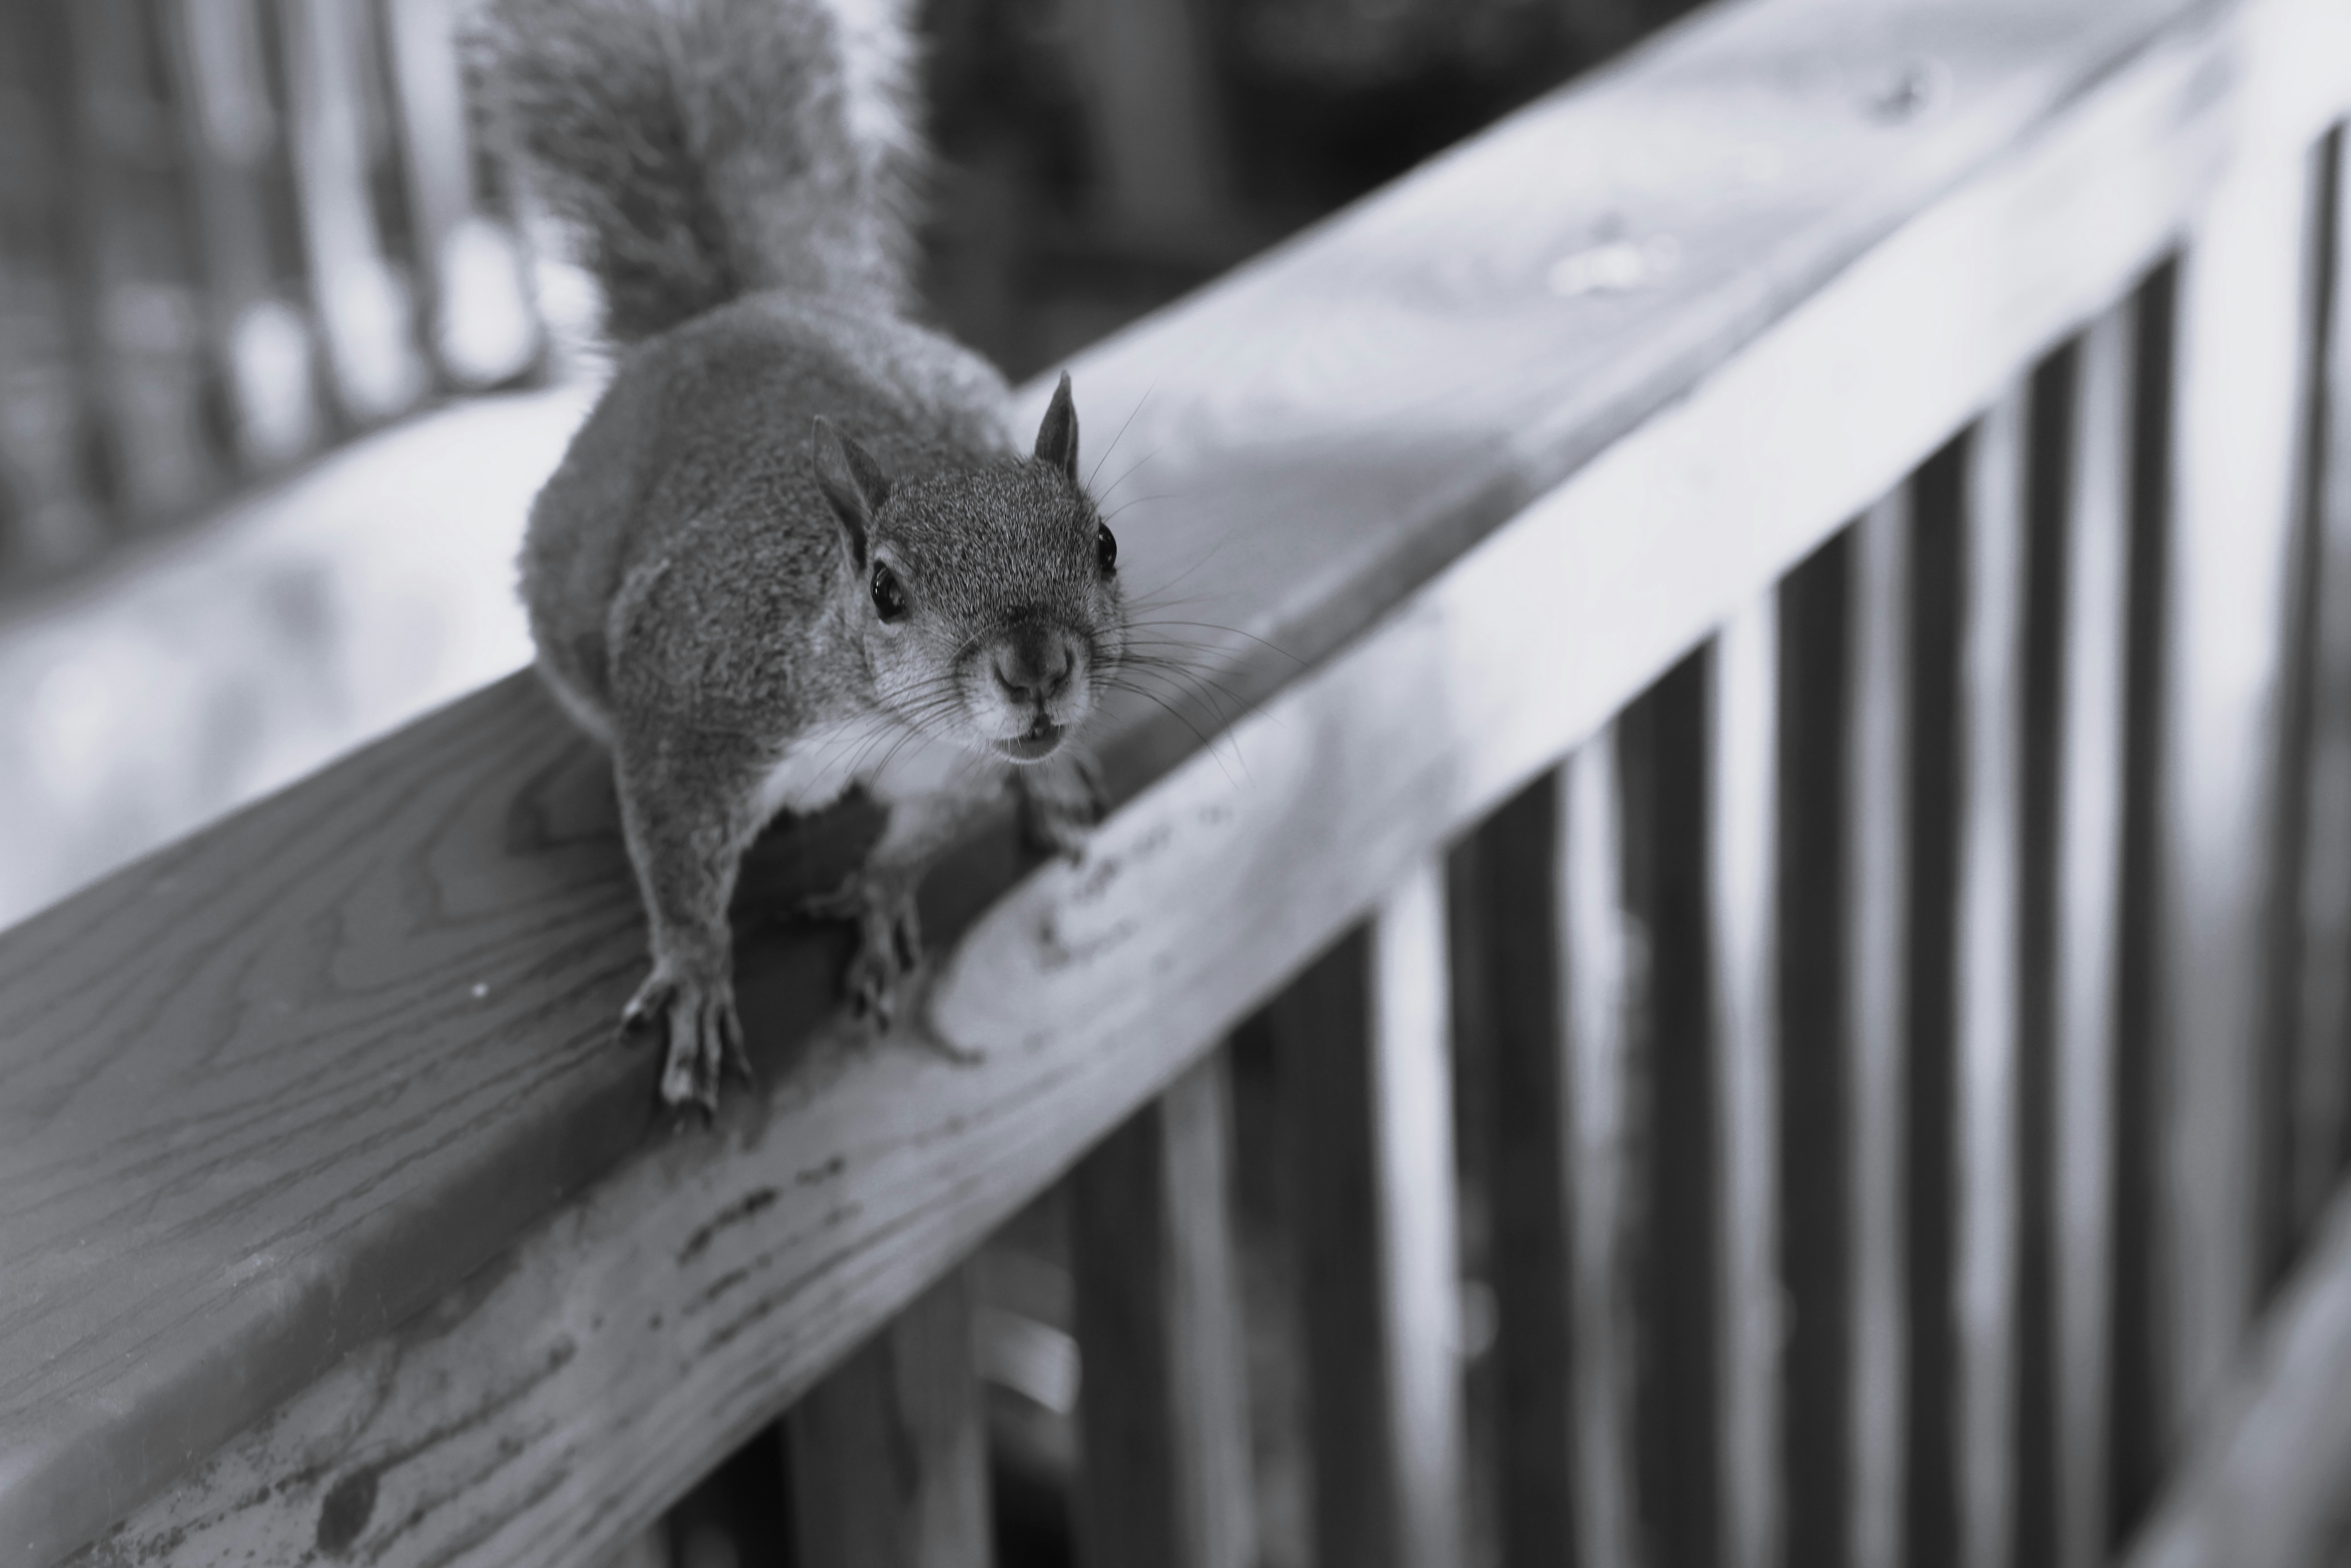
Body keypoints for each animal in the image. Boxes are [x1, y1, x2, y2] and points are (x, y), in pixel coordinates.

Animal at [473, 0, 1125, 1113]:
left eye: (1105, 545)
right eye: (887, 590)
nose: (1038, 672)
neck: (867, 714)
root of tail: (745, 311)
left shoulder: (951, 767)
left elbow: (924, 834)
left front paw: (879, 893)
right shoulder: (692, 705)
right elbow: (675, 851)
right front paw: (696, 972)